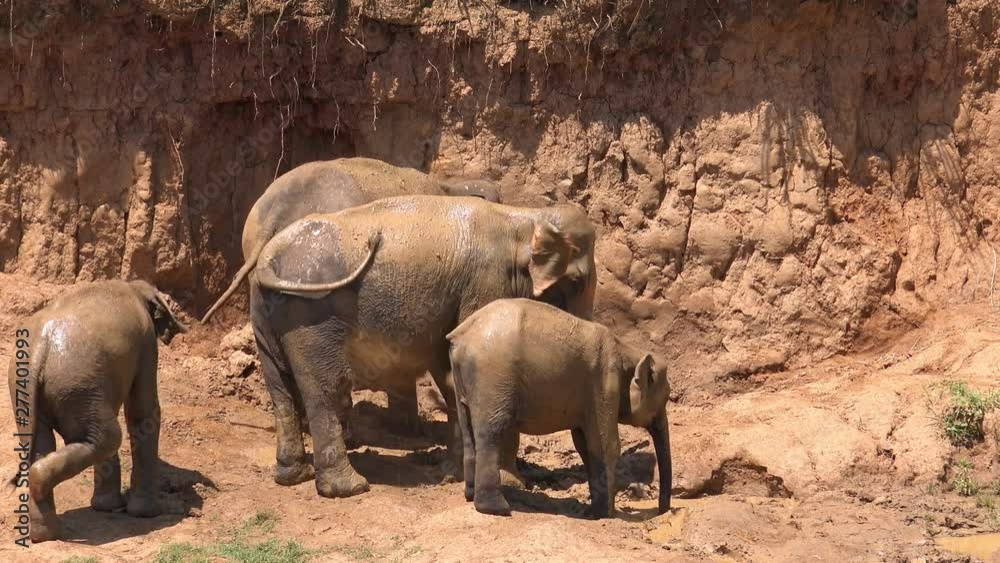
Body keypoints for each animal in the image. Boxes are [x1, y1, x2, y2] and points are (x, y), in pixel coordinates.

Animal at [7, 280, 187, 543]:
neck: (134, 287)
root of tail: (39, 348)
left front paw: (107, 508)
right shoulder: (146, 344)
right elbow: (142, 411)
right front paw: (148, 513)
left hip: (34, 393)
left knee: (46, 444)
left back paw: (43, 534)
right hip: (77, 386)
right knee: (108, 436)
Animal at [250, 195, 597, 498]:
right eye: (577, 282)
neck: (522, 217)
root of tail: (268, 255)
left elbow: (452, 367)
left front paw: (454, 474)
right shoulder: (486, 283)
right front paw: (509, 483)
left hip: (267, 313)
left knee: (280, 387)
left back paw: (294, 476)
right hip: (310, 315)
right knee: (326, 388)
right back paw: (350, 488)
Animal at [447, 298, 672, 518]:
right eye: (665, 398)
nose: (662, 511)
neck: (628, 349)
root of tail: (460, 335)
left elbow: (584, 444)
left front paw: (594, 513)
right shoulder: (604, 383)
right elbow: (605, 444)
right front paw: (606, 516)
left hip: (465, 379)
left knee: (468, 429)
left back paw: (470, 495)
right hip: (493, 376)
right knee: (492, 432)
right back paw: (497, 509)